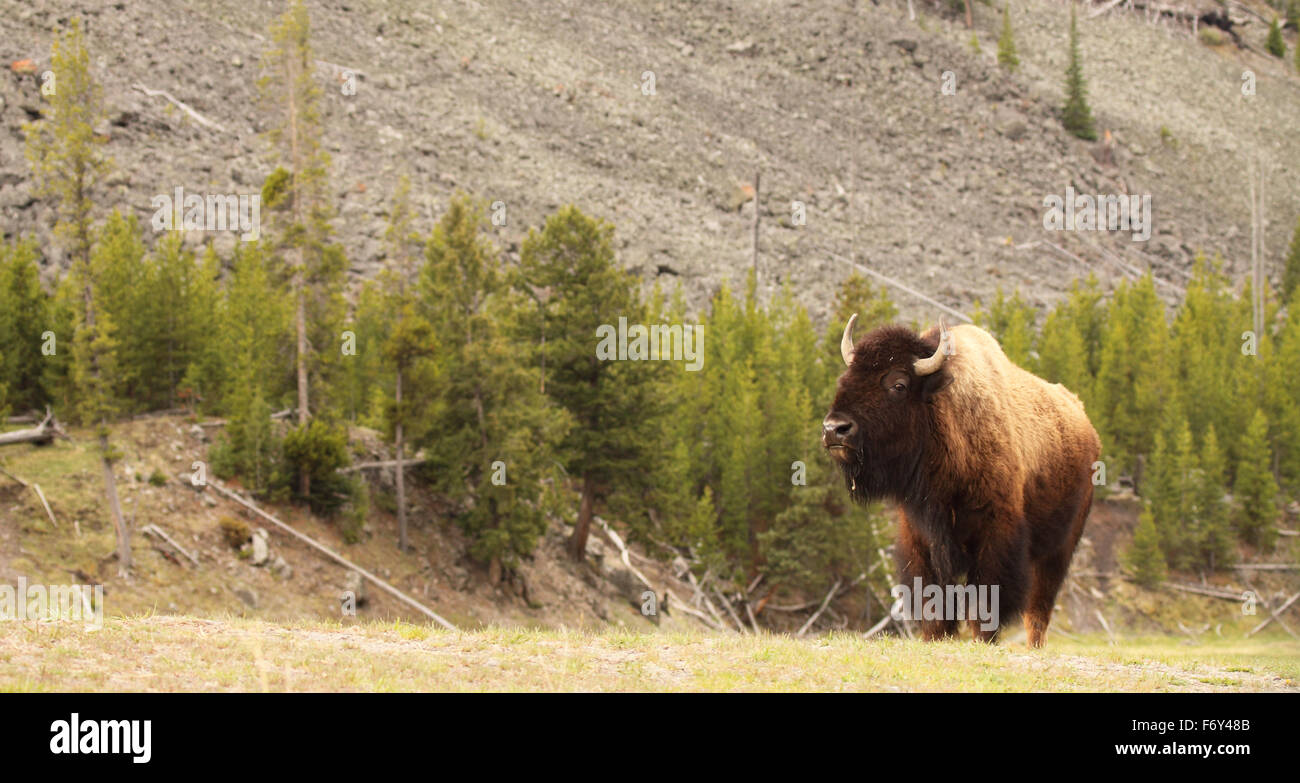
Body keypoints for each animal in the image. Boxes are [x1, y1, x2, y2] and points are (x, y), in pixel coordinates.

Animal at [822, 315, 1100, 647]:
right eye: (845, 379)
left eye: (898, 384)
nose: (835, 429)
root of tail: (1086, 426)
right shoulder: (921, 537)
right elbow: (933, 601)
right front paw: (936, 638)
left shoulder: (995, 534)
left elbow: (985, 600)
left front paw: (983, 639)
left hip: (1059, 548)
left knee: (1038, 608)